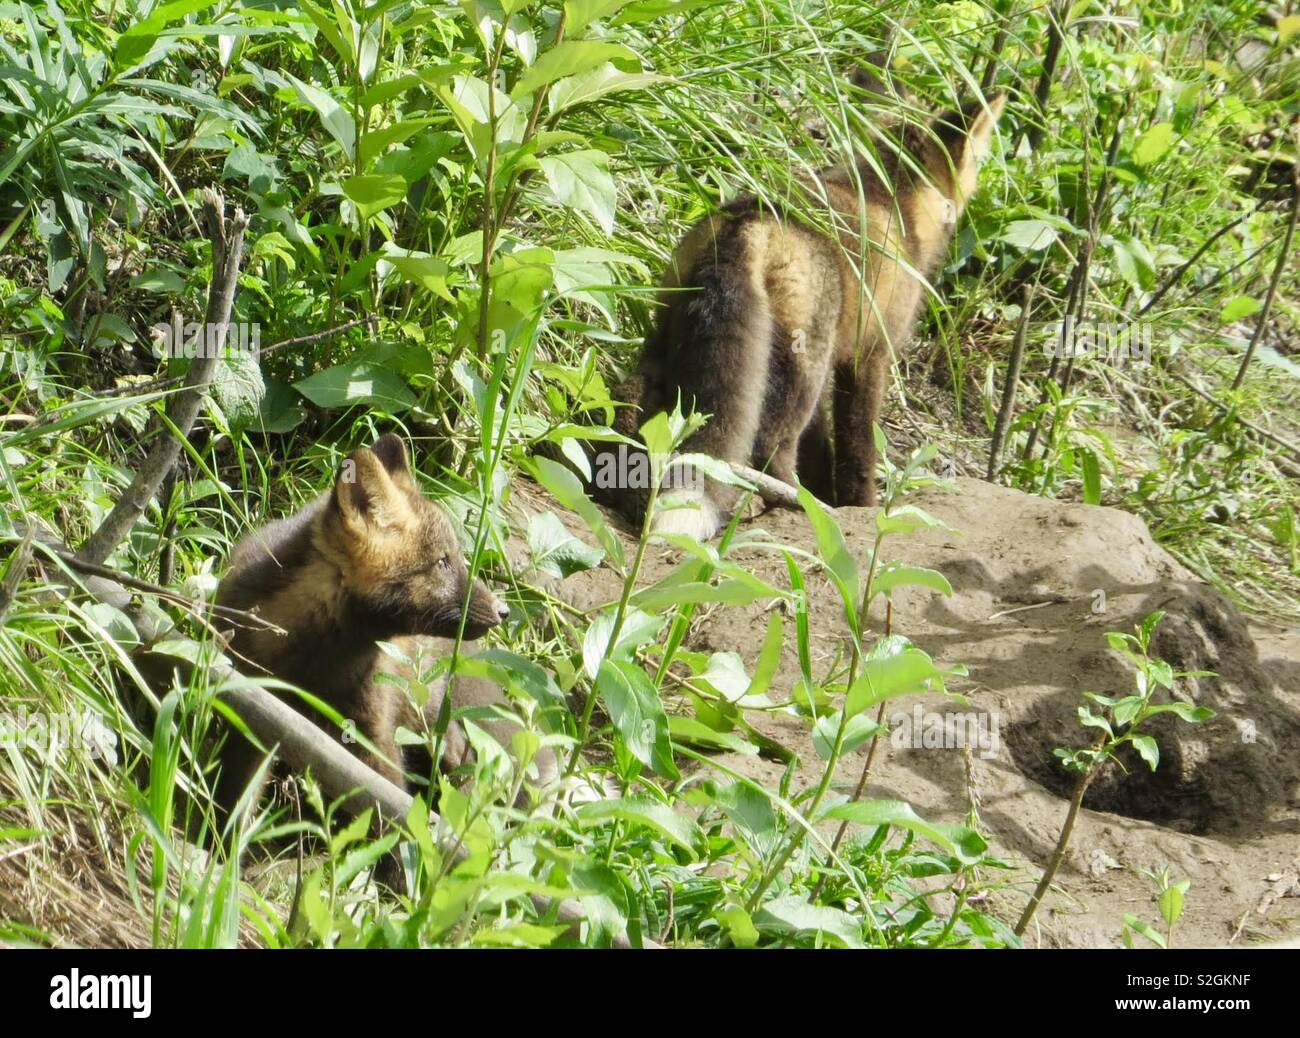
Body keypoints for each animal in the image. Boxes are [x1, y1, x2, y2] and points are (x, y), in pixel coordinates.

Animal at [212, 433, 558, 823]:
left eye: (454, 557)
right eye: (442, 562)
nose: (504, 611)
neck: (316, 665)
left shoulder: (372, 730)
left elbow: (393, 813)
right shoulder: (255, 707)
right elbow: (235, 805)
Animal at [599, 78, 1006, 540]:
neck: (893, 199)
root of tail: (746, 222)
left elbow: (819, 447)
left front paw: (827, 489)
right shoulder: (869, 357)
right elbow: (857, 445)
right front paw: (858, 504)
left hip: (671, 338)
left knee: (638, 402)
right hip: (801, 372)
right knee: (770, 448)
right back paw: (793, 504)